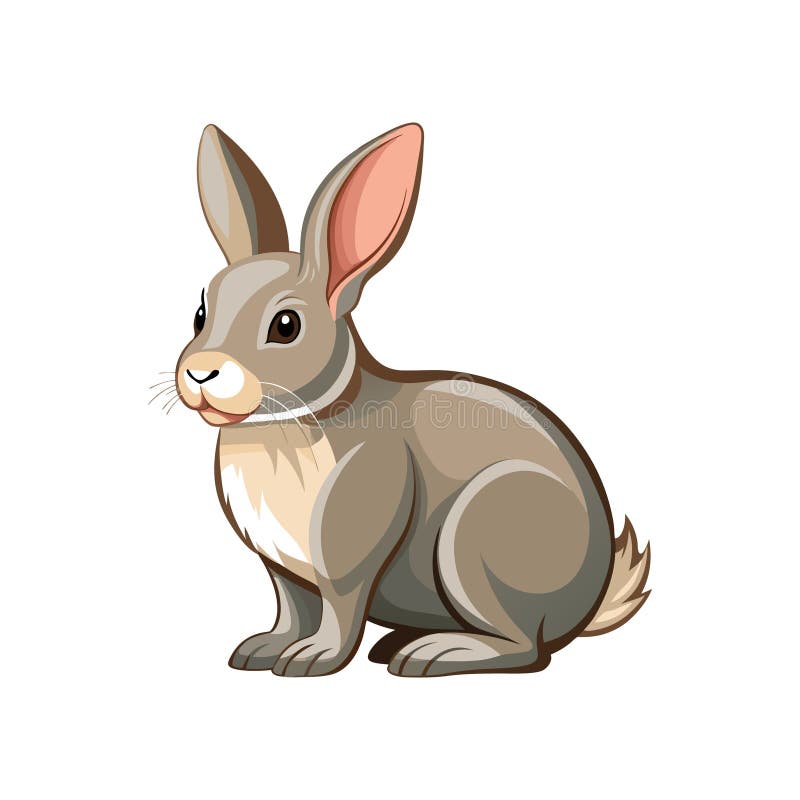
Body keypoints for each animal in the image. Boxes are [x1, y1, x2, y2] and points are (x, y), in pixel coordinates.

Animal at [171, 122, 651, 677]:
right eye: (200, 313)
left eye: (285, 325)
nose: (201, 372)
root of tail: (590, 601)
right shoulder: (280, 569)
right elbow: (291, 609)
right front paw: (261, 650)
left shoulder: (346, 559)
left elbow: (338, 612)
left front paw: (310, 660)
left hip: (476, 539)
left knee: (525, 647)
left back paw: (434, 653)